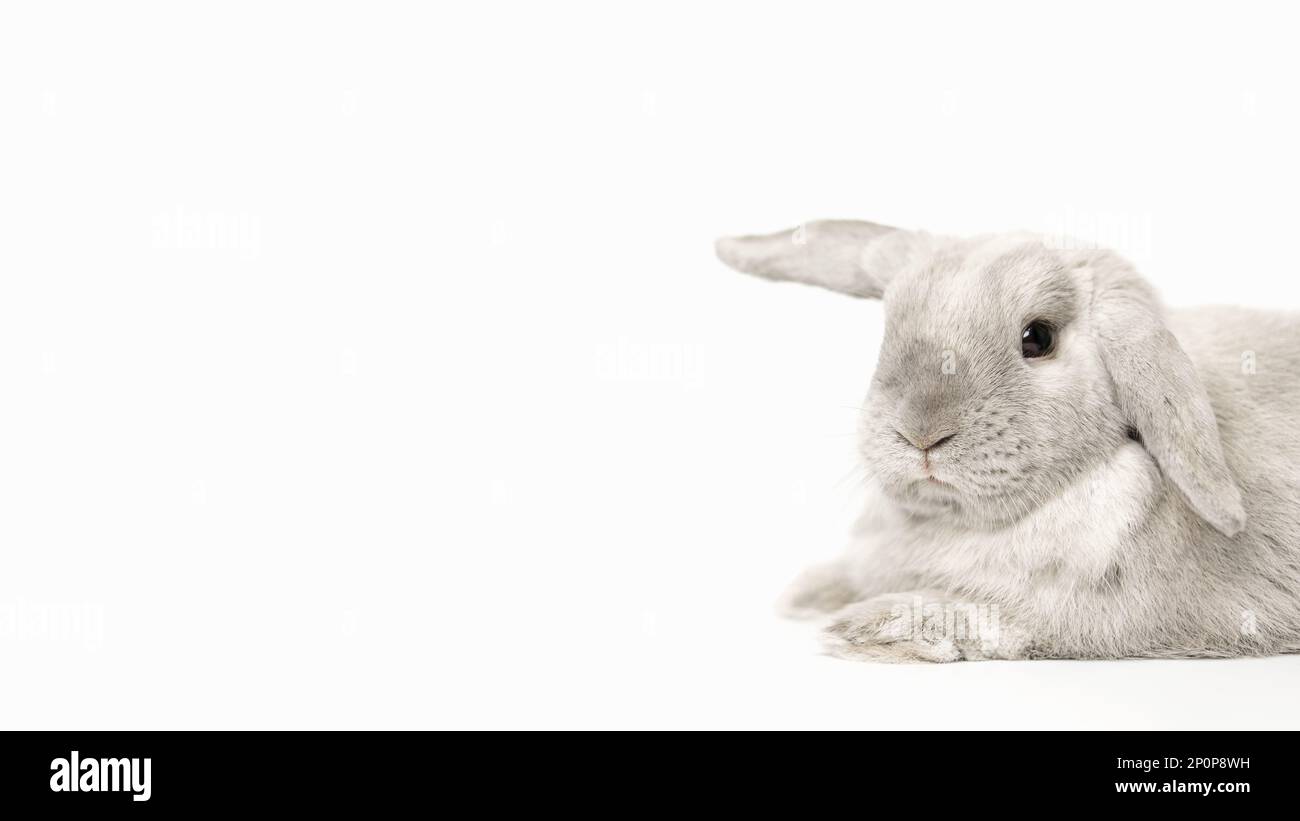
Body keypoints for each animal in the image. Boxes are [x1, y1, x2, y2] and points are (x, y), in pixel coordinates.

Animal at [715, 219, 1300, 662]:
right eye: (887, 334)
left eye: (1037, 337)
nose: (919, 432)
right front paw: (809, 594)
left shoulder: (1100, 618)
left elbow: (995, 620)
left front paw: (870, 624)